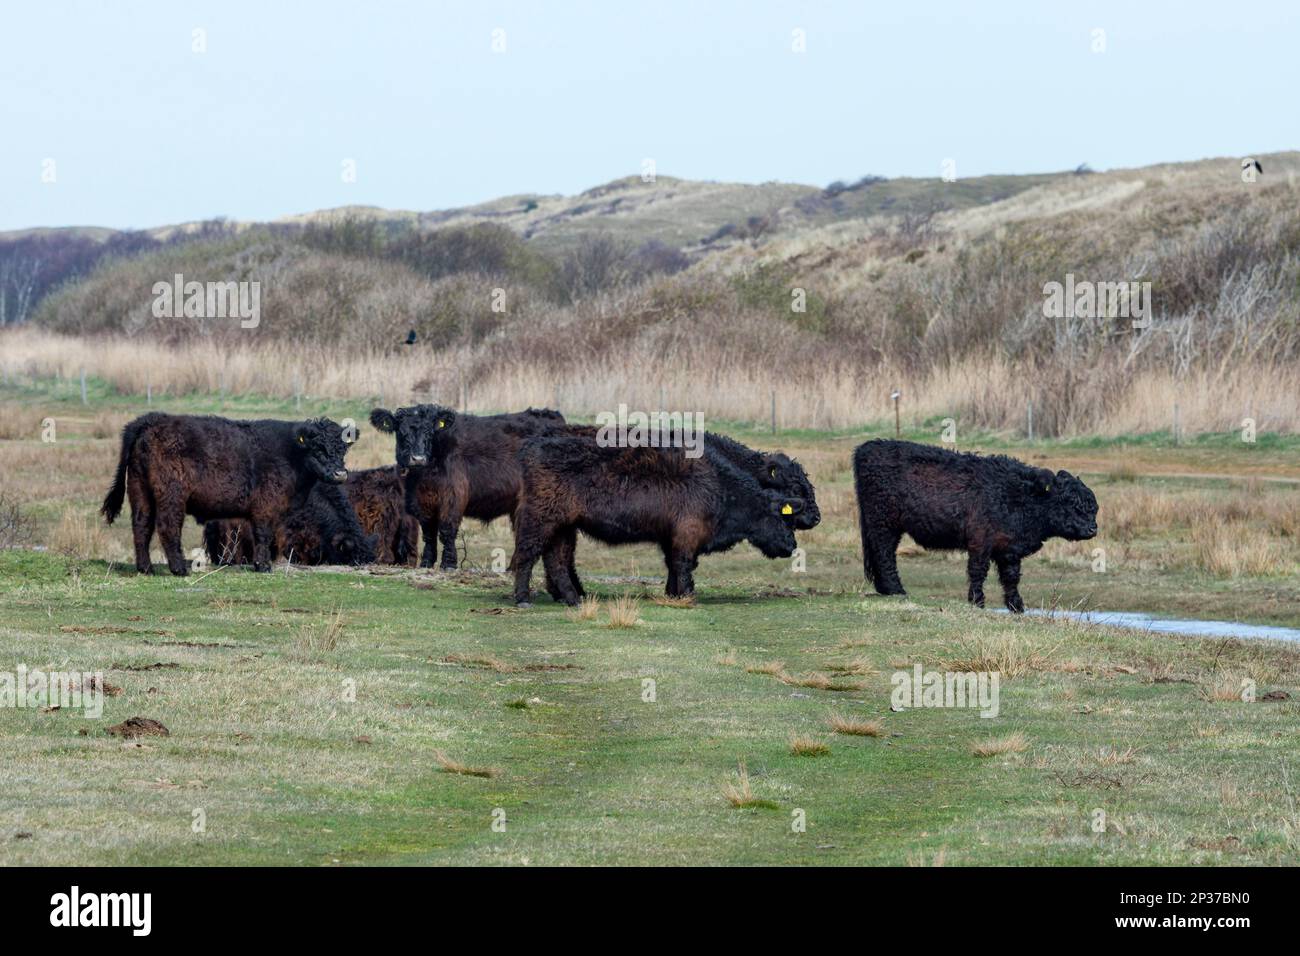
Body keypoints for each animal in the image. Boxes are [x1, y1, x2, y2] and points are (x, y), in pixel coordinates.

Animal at [101, 413, 354, 575]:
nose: (340, 474)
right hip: (171, 494)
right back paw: (180, 568)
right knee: (167, 527)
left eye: (343, 449)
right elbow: (264, 535)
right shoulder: (265, 507)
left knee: (141, 525)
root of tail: (150, 420)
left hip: (139, 489)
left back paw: (146, 568)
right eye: (318, 449)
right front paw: (263, 566)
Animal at [368, 404, 565, 569]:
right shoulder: (421, 502)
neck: (422, 476)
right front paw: (427, 563)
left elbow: (447, 530)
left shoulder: (453, 496)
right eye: (401, 432)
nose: (418, 458)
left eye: (429, 432)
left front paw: (448, 564)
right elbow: (429, 533)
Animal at [510, 436, 805, 606]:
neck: (721, 486)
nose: (791, 545)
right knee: (526, 555)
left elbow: (674, 565)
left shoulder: (671, 537)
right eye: (783, 518)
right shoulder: (687, 535)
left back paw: (573, 600)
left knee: (556, 561)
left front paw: (673, 593)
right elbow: (683, 565)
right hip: (540, 521)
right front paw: (688, 596)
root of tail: (531, 450)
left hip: (563, 528)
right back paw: (524, 599)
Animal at [852, 440, 1098, 612]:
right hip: (883, 522)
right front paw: (977, 601)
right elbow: (978, 571)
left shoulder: (1009, 548)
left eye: (1094, 507)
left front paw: (1016, 606)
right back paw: (896, 590)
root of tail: (869, 446)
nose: (1093, 528)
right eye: (1070, 502)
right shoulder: (980, 541)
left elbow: (1011, 577)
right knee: (884, 554)